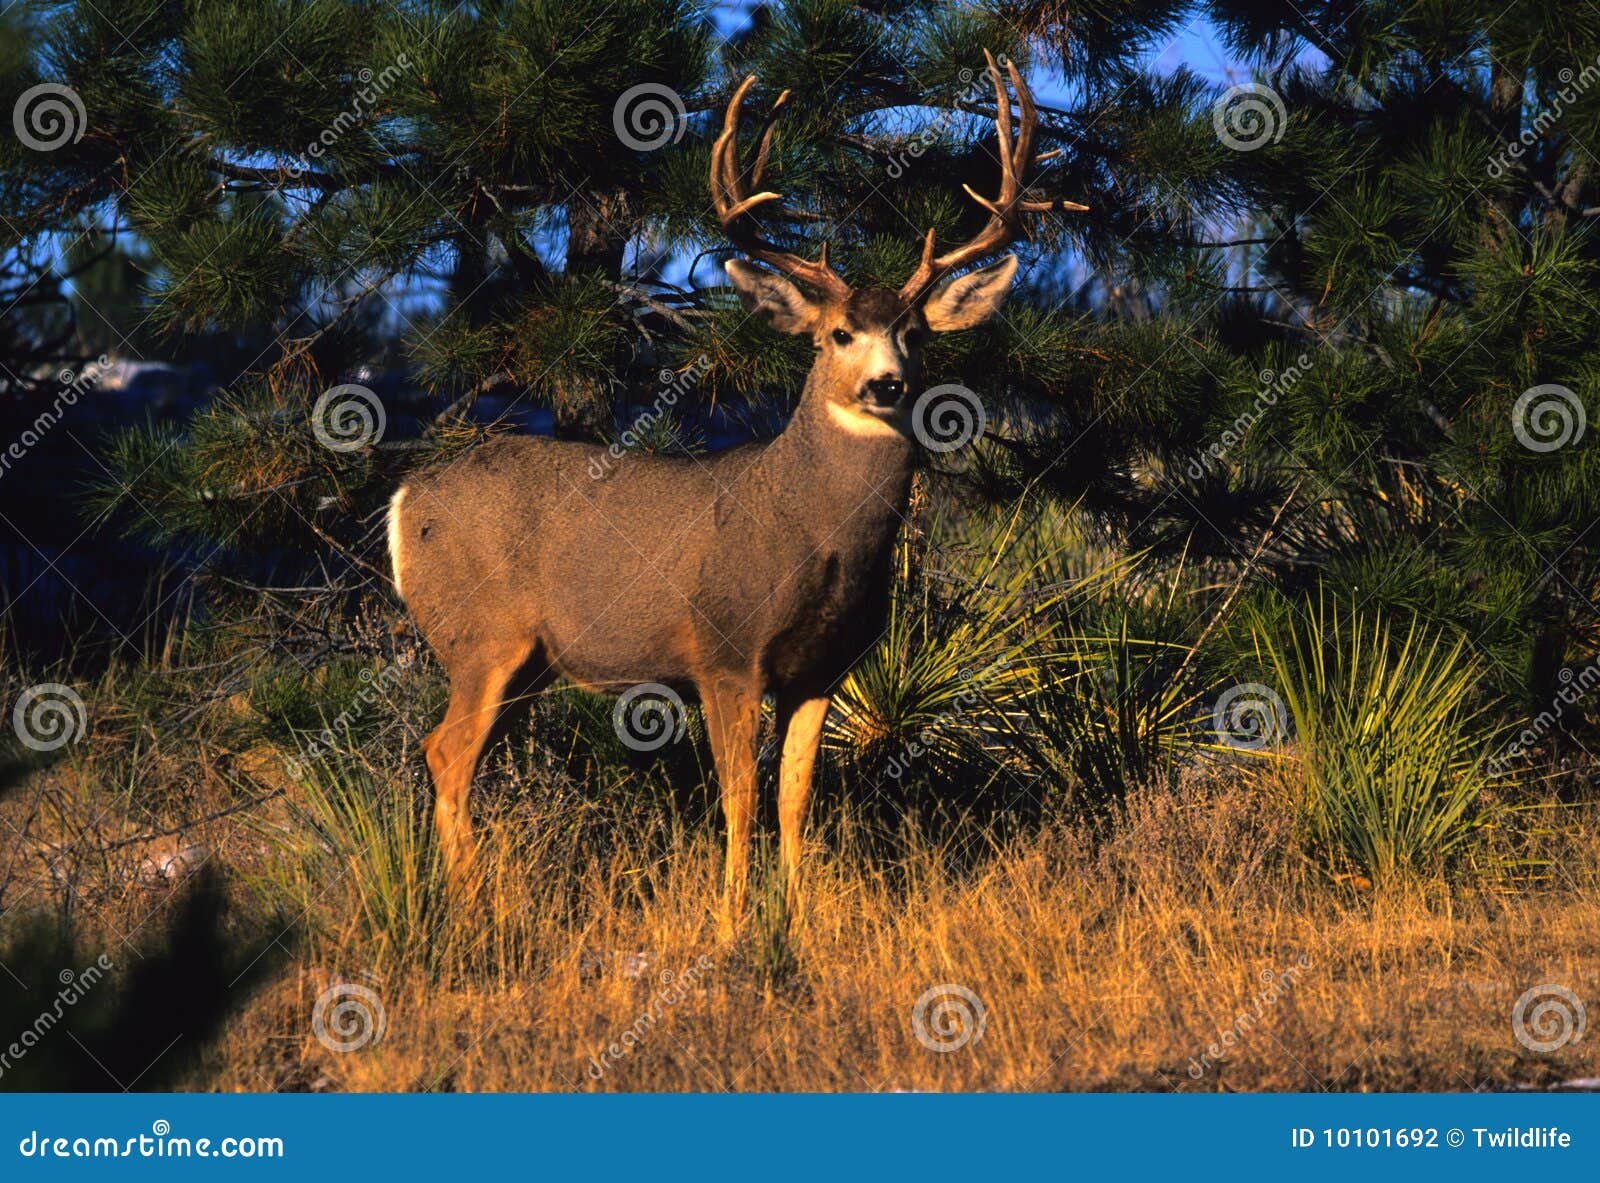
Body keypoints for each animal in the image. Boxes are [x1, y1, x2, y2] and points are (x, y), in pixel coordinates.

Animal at [386, 51, 1084, 924]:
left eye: (916, 335)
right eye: (838, 334)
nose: (888, 384)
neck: (813, 532)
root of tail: (405, 499)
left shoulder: (823, 668)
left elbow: (795, 796)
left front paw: (799, 914)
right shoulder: (724, 649)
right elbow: (738, 796)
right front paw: (731, 920)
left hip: (527, 661)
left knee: (453, 754)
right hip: (481, 636)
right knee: (445, 753)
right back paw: (474, 905)